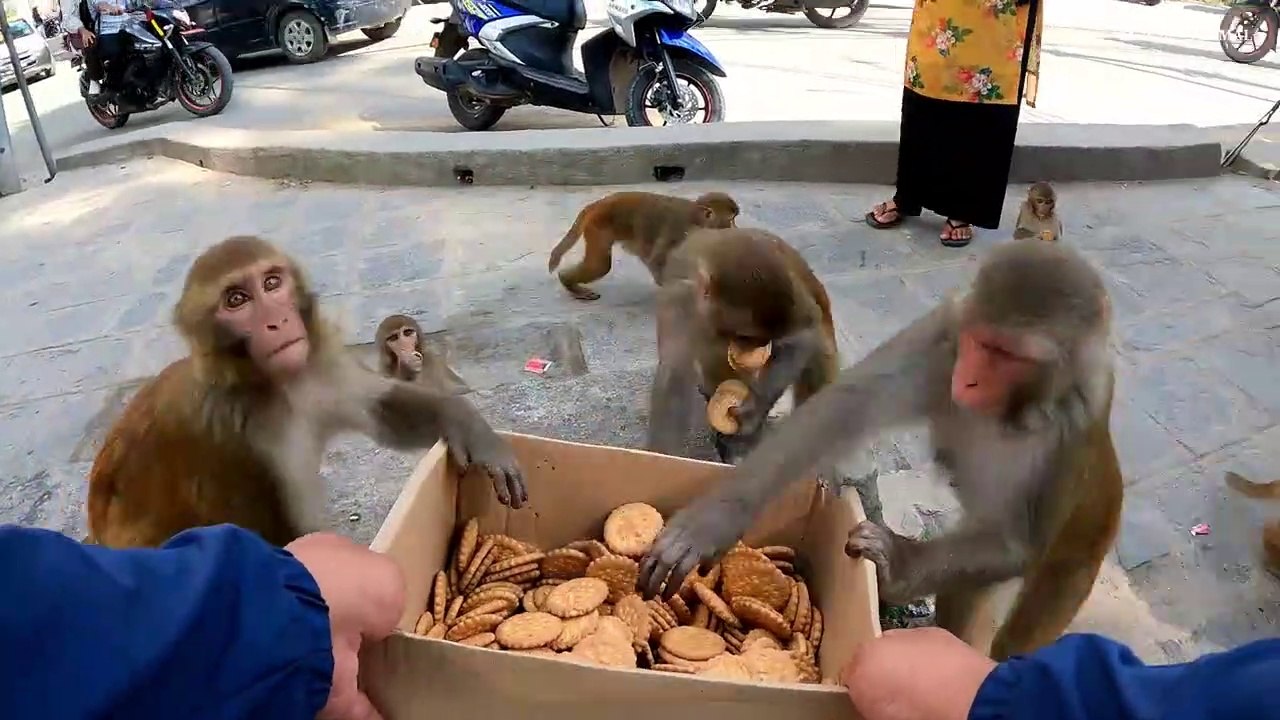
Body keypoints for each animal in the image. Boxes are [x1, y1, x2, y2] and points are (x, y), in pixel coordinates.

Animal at [86, 236, 527, 549]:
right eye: (236, 300)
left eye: (272, 282)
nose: (277, 322)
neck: (278, 385)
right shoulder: (246, 436)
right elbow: (297, 540)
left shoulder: (319, 366)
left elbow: (381, 410)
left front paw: (469, 426)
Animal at [547, 191, 740, 302]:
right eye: (731, 219)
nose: (735, 228)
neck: (697, 221)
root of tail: (598, 204)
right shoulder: (677, 231)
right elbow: (657, 261)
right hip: (598, 225)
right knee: (600, 266)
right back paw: (567, 281)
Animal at [645, 226, 838, 465]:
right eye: (746, 335)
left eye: (764, 338)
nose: (760, 347)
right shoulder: (681, 302)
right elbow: (675, 376)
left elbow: (804, 331)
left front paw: (752, 413)